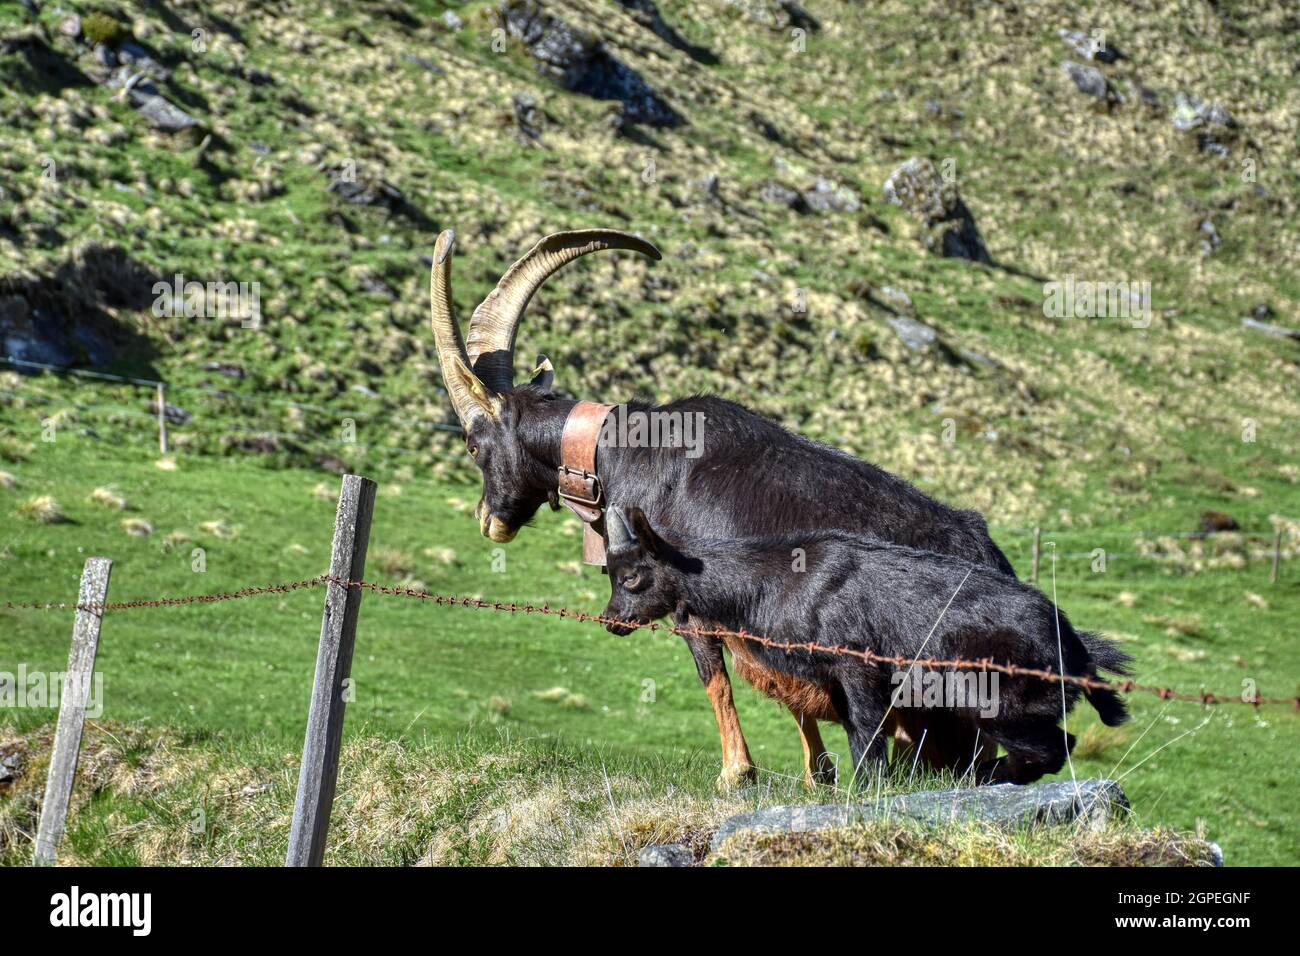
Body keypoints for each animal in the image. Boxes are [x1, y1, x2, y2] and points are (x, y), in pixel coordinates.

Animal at [427, 227, 1021, 788]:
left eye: (472, 443)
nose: (489, 520)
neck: (617, 454)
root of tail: (990, 555)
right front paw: (817, 772)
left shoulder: (689, 599)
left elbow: (714, 677)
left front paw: (736, 772)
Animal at [602, 507, 1131, 786]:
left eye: (632, 578)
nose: (611, 621)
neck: (775, 583)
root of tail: (1076, 649)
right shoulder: (834, 682)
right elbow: (858, 736)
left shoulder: (859, 670)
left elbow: (868, 735)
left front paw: (869, 787)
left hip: (996, 703)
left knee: (1056, 746)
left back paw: (983, 775)